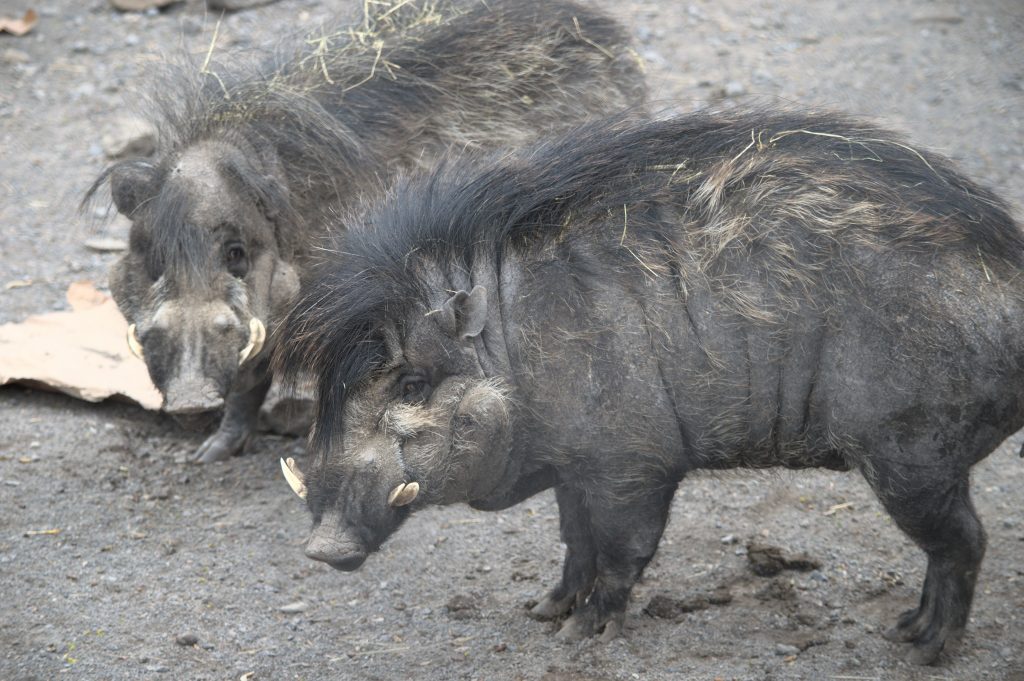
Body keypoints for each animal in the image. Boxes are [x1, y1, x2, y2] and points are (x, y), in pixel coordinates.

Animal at [84, 0, 646, 462]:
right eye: (150, 257)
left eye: (237, 252)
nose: (189, 401)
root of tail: (619, 47)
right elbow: (247, 383)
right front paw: (212, 454)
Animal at [275, 110, 1024, 665]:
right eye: (333, 393)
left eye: (412, 380)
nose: (321, 548)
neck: (515, 341)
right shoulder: (576, 467)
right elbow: (573, 540)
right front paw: (543, 611)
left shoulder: (634, 463)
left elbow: (621, 549)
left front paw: (583, 634)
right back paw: (907, 630)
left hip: (911, 453)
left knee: (963, 541)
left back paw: (919, 645)